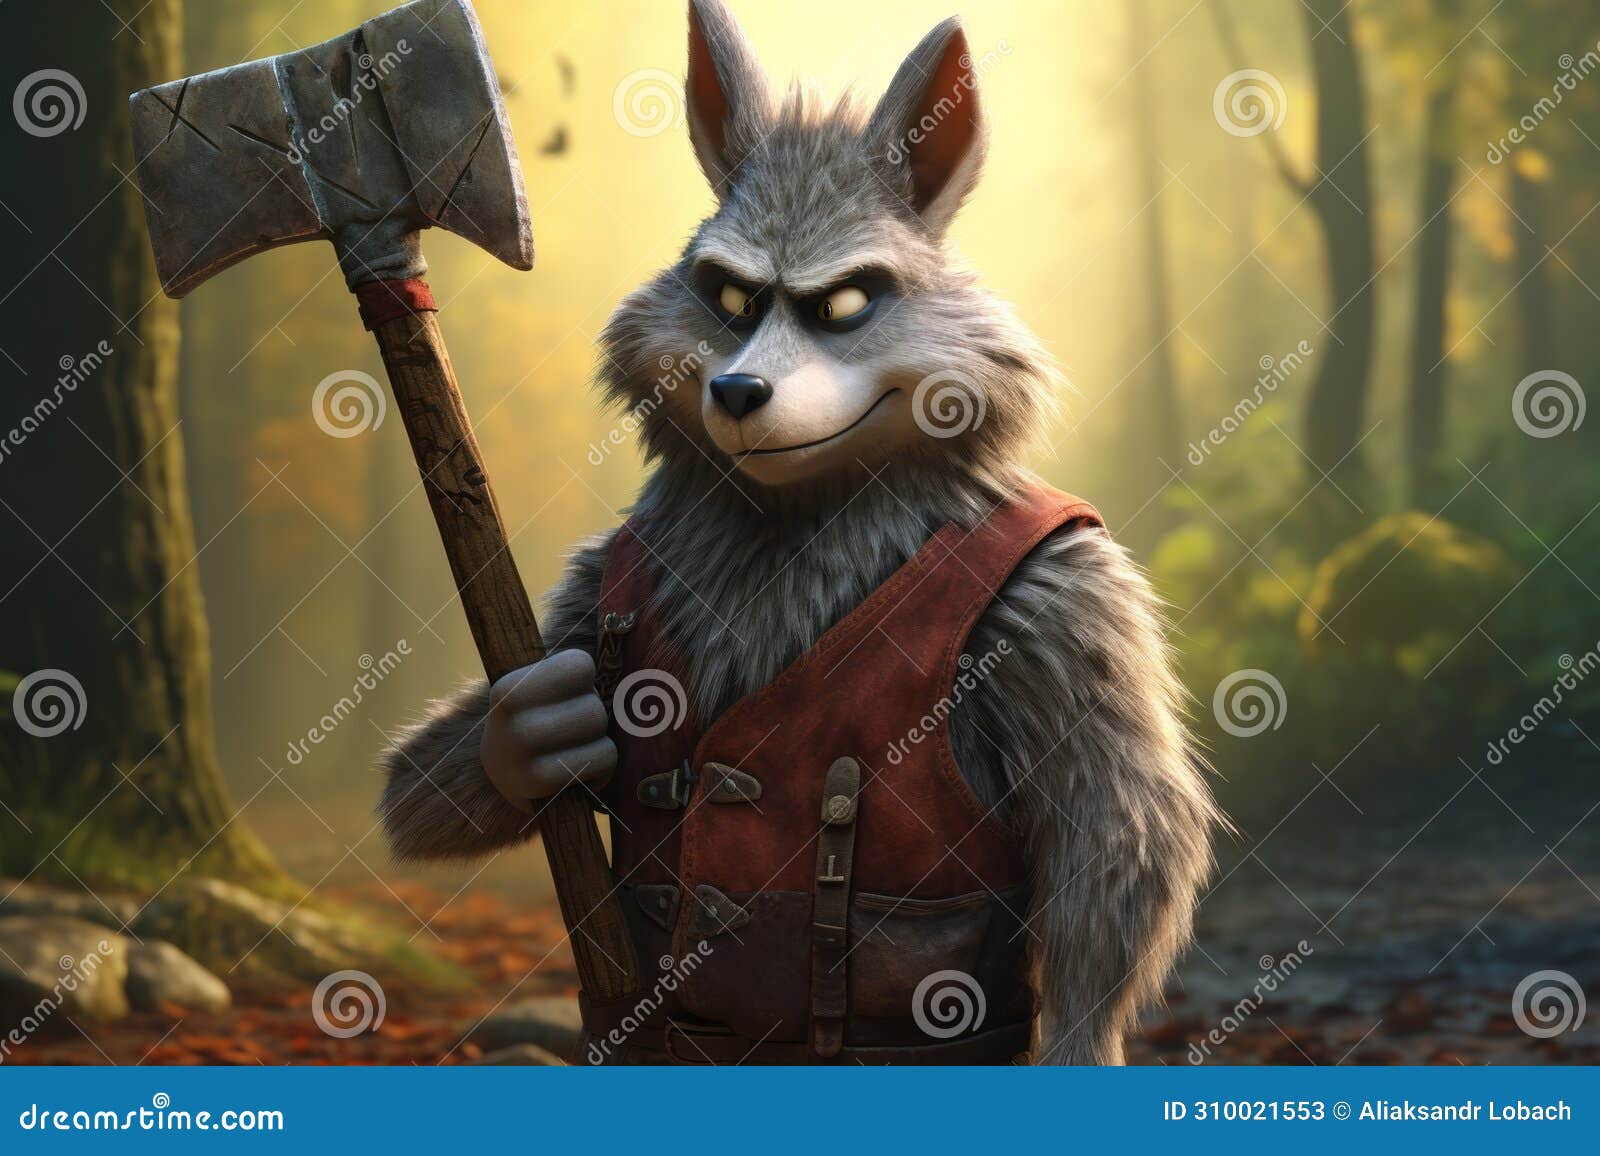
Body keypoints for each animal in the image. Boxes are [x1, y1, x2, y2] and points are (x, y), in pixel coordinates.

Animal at [379, 0, 1220, 1065]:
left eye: (846, 304)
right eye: (732, 298)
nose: (738, 391)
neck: (795, 512)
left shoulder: (1062, 596)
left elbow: (1121, 836)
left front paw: (1078, 1041)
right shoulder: (599, 576)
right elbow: (420, 788)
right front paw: (528, 728)